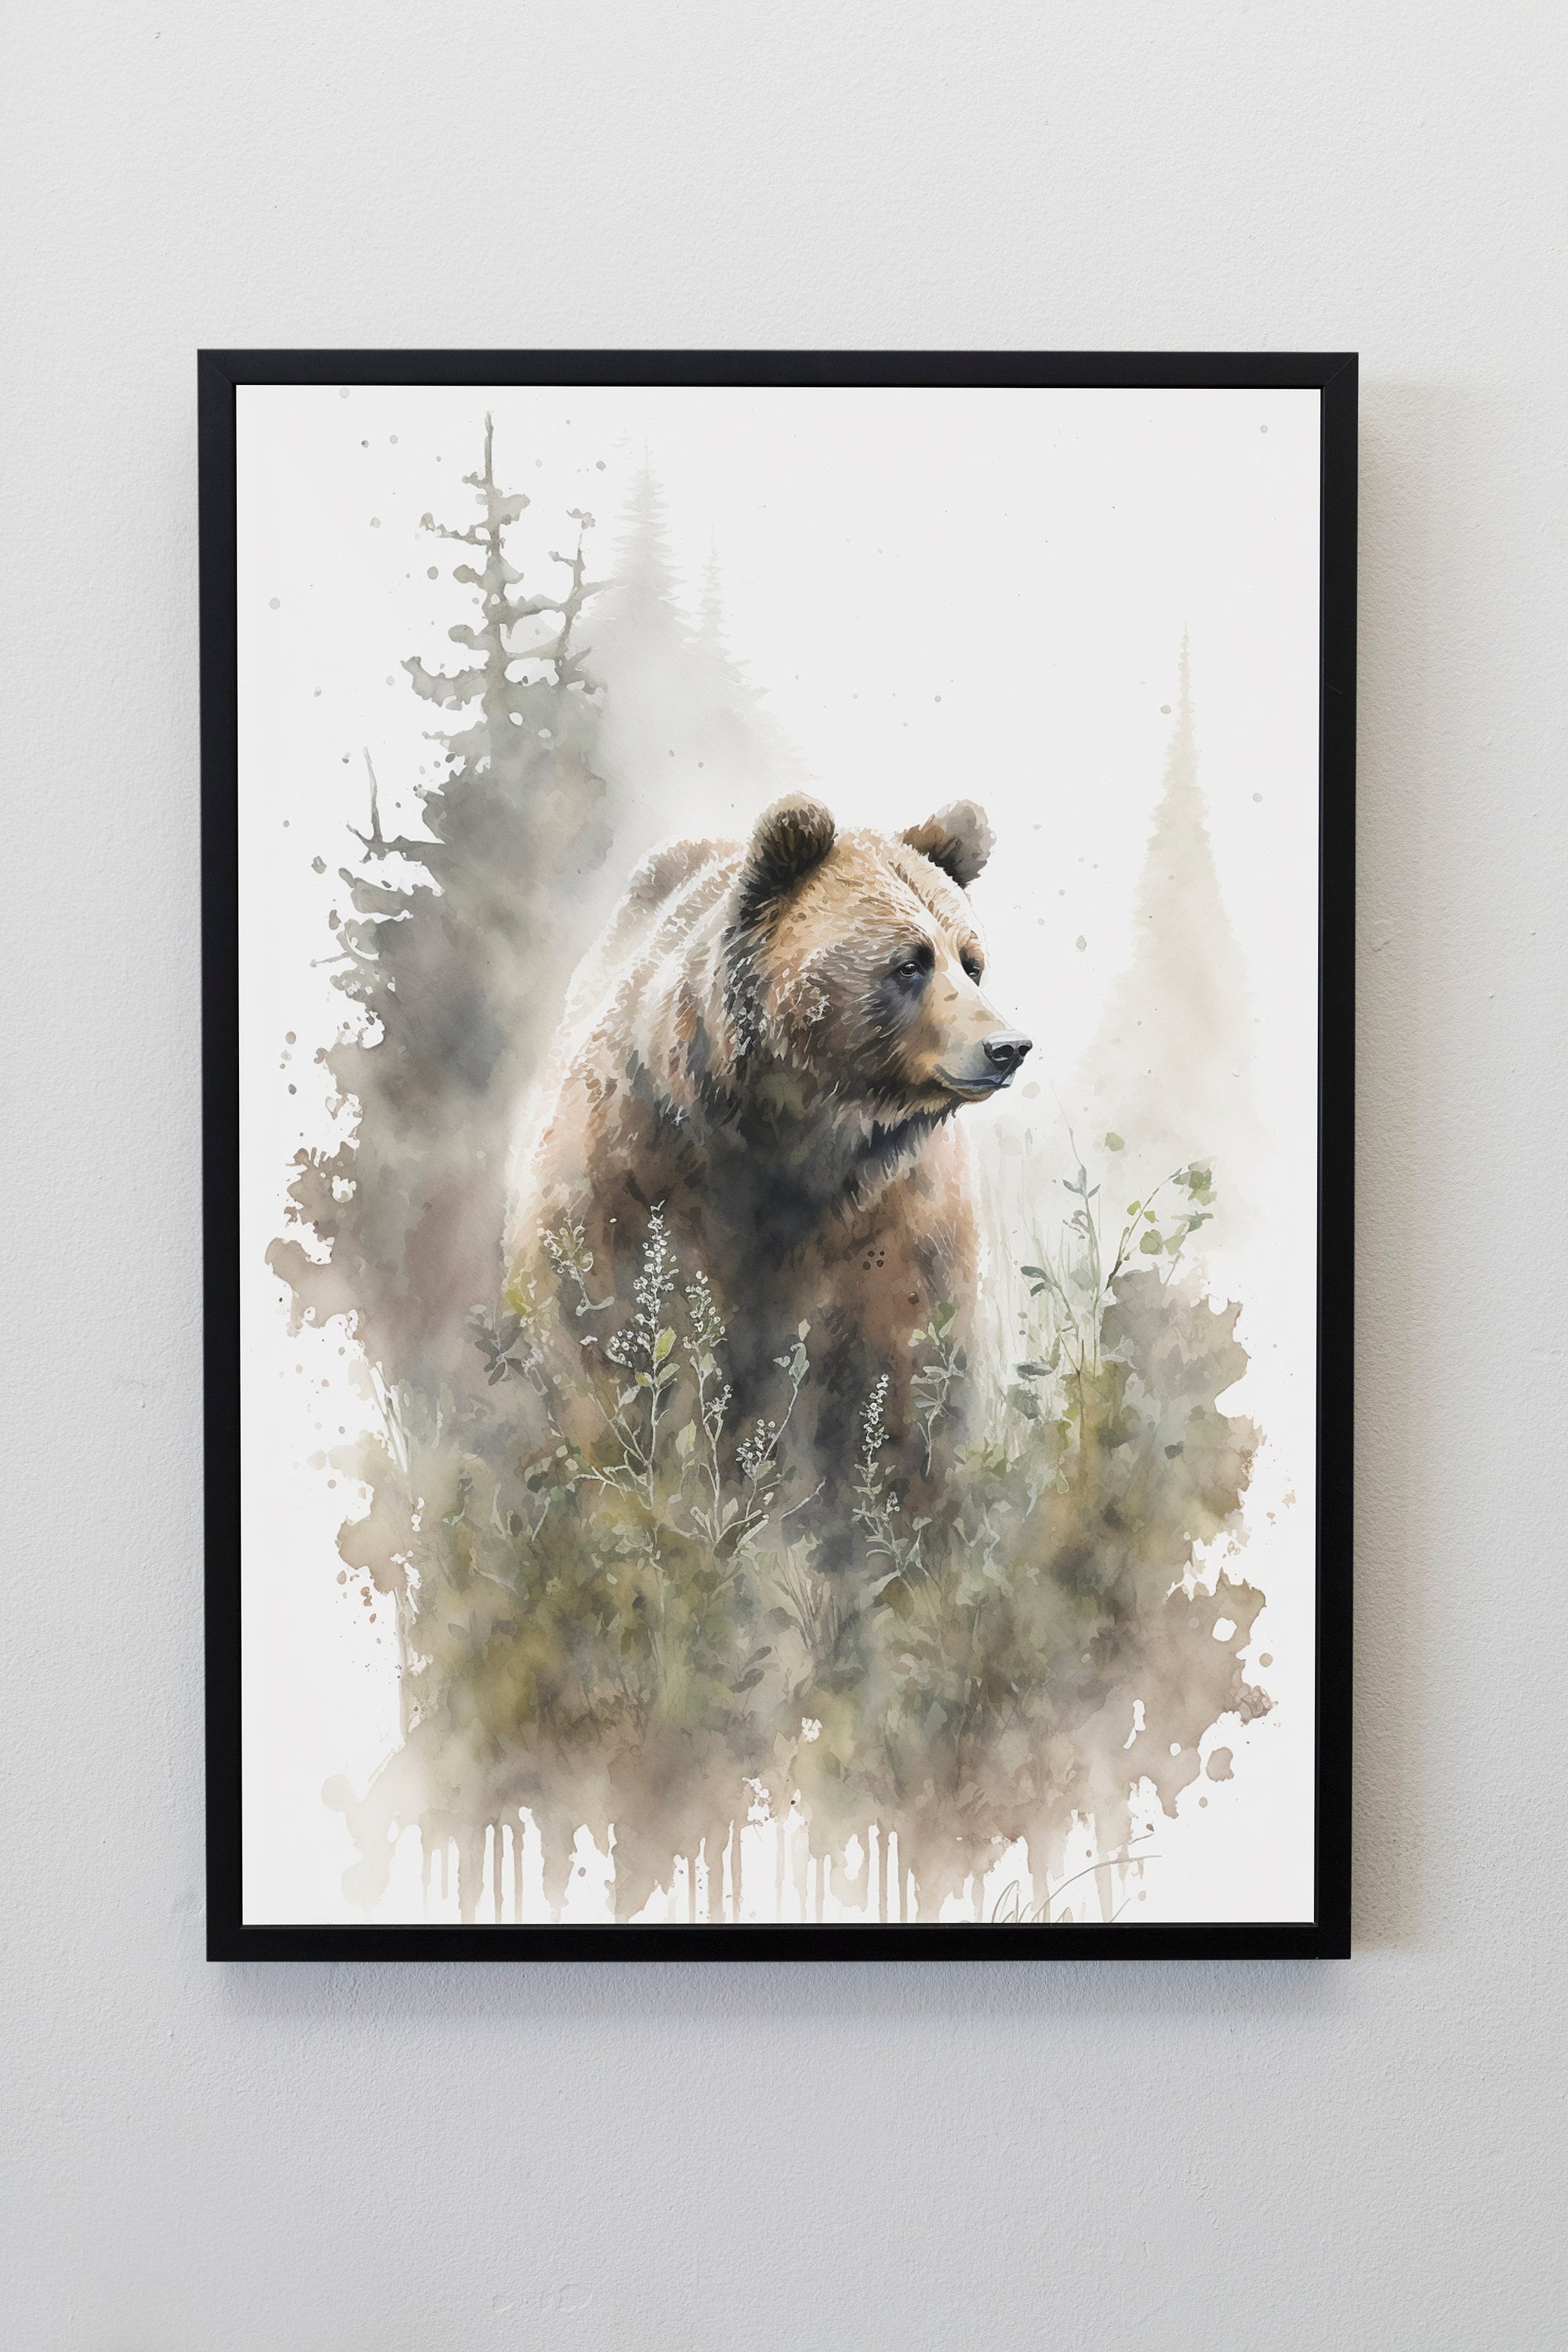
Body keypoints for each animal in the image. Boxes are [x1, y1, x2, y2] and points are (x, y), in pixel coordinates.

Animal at [505, 792, 1031, 1515]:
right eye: (910, 962)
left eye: (971, 961)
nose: (1006, 1046)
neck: (792, 1138)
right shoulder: (646, 1166)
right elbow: (610, 1328)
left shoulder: (890, 1211)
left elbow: (907, 1362)